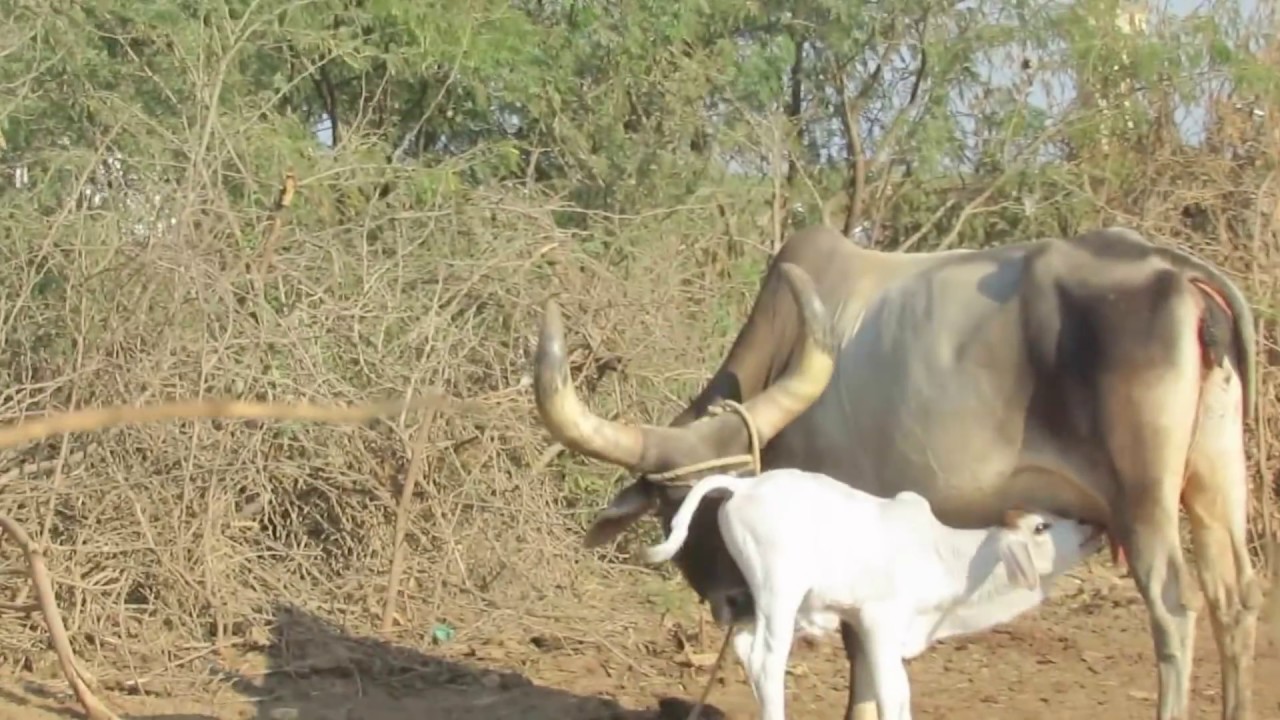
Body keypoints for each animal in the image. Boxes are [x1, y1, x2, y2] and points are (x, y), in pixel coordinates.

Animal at [531, 225, 1262, 720]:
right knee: (1235, 598)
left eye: (699, 503)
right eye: (668, 500)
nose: (734, 599)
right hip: (1216, 482)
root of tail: (1177, 270)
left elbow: (861, 665)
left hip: (1145, 504)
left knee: (1174, 609)